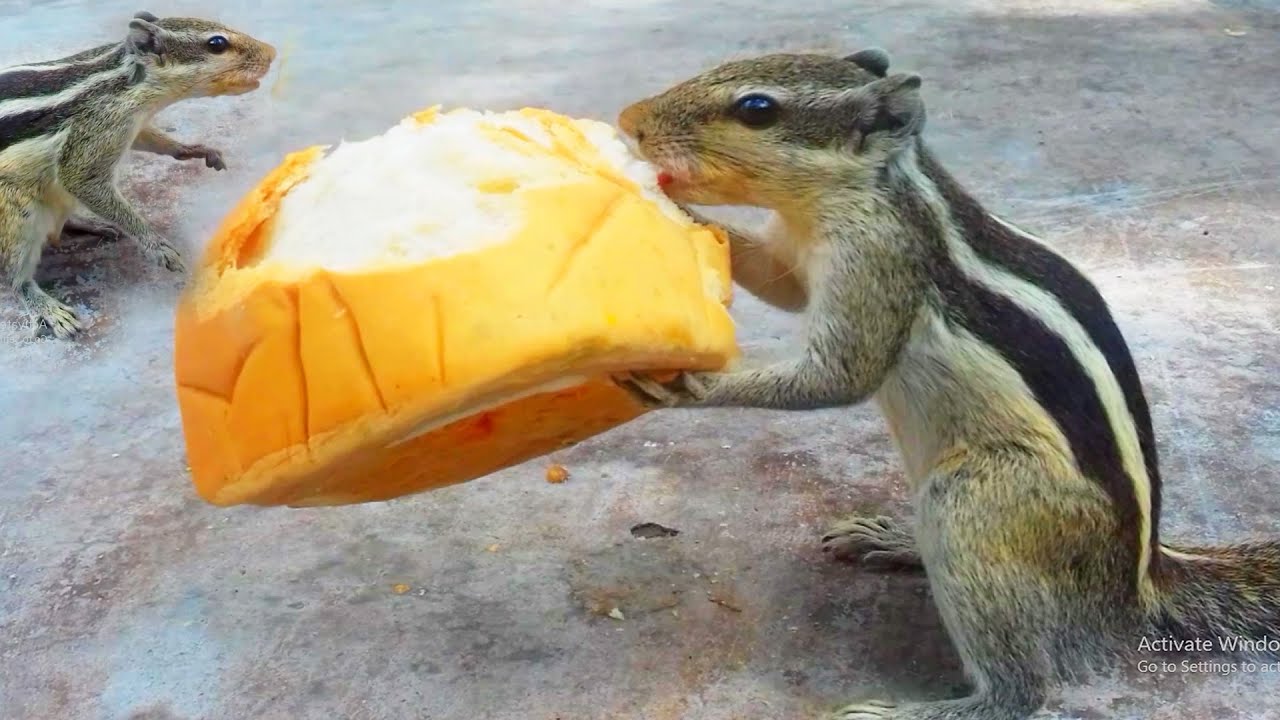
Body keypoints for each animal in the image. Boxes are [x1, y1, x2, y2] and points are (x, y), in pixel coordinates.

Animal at [0, 10, 275, 339]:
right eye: (217, 44)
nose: (272, 53)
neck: (126, 86)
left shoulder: (133, 128)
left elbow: (151, 140)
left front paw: (193, 150)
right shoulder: (92, 139)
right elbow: (81, 180)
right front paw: (157, 246)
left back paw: (89, 223)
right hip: (15, 215)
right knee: (15, 277)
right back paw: (46, 307)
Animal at [615, 50, 1280, 720]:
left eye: (757, 109)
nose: (629, 121)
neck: (870, 189)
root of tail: (1135, 581)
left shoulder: (877, 262)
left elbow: (839, 376)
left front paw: (692, 388)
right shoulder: (800, 257)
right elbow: (777, 281)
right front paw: (670, 205)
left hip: (976, 508)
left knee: (1020, 691)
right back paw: (895, 539)